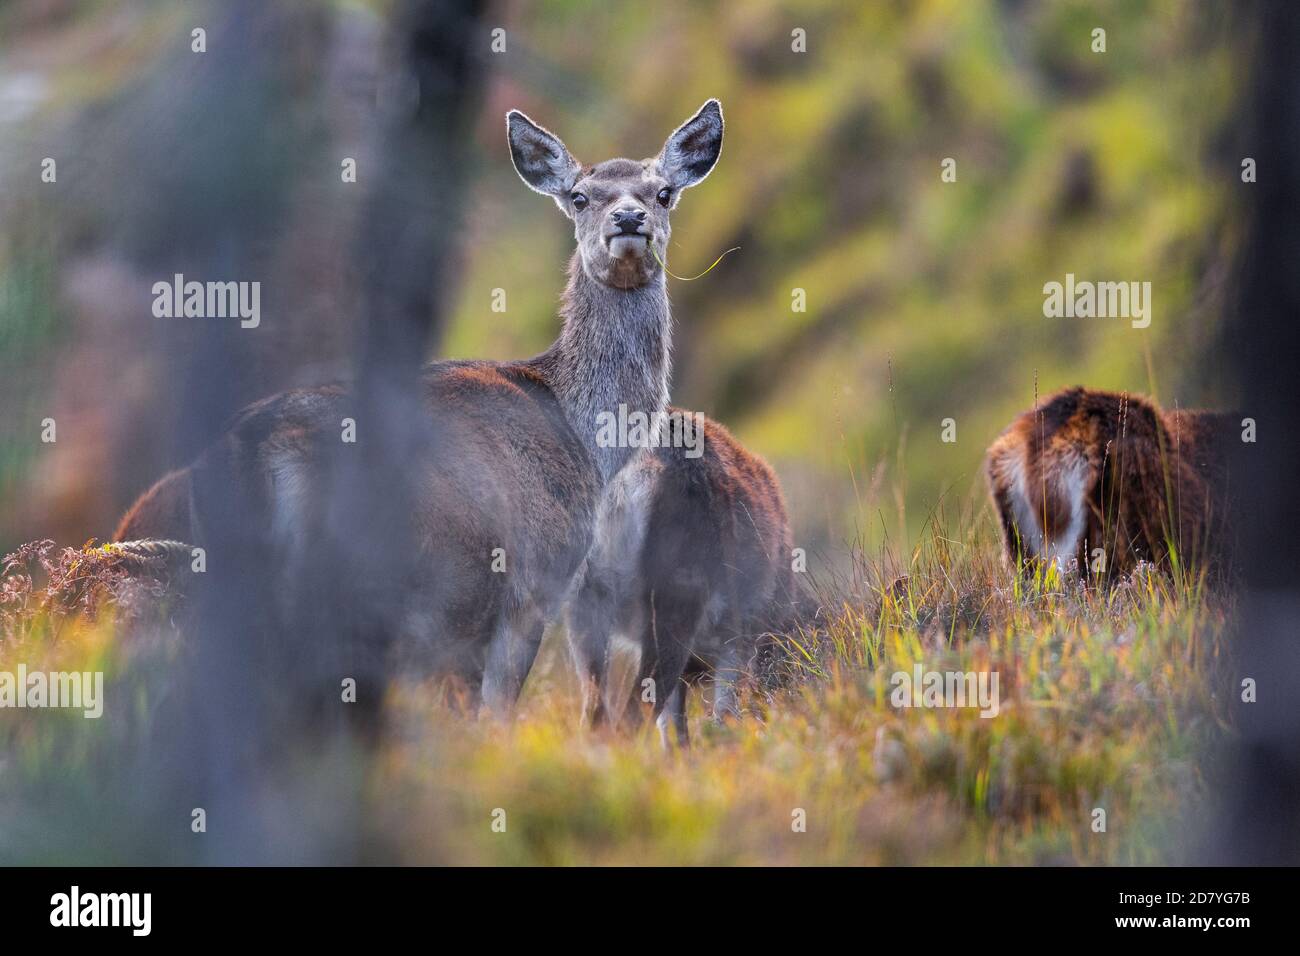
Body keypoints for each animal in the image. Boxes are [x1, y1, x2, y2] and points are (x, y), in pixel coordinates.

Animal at [112, 100, 727, 712]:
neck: (585, 438)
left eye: (663, 191)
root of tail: (250, 448)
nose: (628, 219)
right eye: (580, 196)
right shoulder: (532, 588)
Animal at [563, 409, 802, 746]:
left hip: (585, 601)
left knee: (596, 712)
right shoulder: (738, 639)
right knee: (634, 714)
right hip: (675, 601)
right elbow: (723, 718)